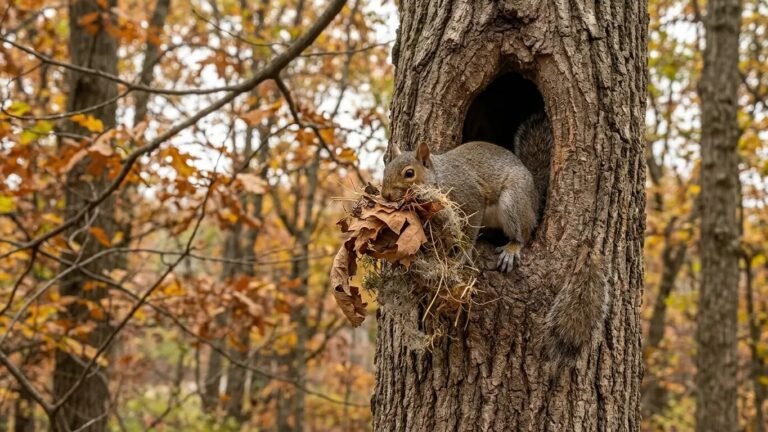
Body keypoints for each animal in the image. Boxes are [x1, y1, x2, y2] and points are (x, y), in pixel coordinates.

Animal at [381, 112, 608, 371]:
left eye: (409, 173)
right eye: (386, 167)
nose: (385, 195)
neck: (439, 176)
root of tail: (534, 201)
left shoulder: (470, 198)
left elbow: (469, 231)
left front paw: (462, 254)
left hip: (513, 203)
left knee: (524, 233)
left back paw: (512, 247)